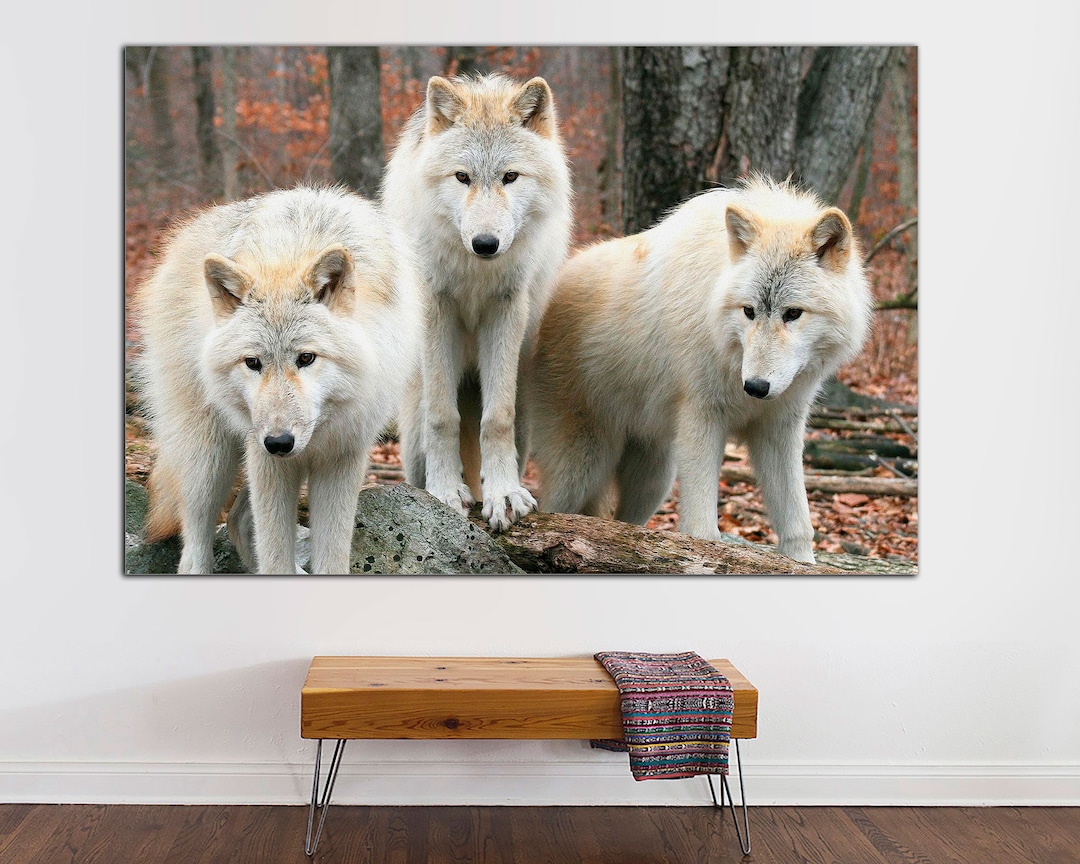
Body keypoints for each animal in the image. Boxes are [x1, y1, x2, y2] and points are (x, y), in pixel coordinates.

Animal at [132, 185, 422, 574]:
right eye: (253, 362)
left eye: (306, 358)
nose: (279, 442)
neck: (293, 251)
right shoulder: (266, 460)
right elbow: (274, 557)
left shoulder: (342, 457)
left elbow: (332, 558)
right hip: (209, 460)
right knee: (195, 539)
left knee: (238, 522)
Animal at [380, 73, 573, 531]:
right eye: (462, 177)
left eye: (511, 176)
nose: (486, 243)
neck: (475, 270)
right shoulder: (437, 309)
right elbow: (442, 416)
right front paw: (445, 492)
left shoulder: (506, 309)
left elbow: (495, 420)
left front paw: (503, 496)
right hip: (412, 431)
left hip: (524, 410)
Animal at [528, 174, 873, 564]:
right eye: (749, 311)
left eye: (793, 314)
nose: (755, 387)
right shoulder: (702, 417)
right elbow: (701, 528)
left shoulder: (779, 427)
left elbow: (798, 522)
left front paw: (801, 563)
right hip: (583, 466)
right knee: (552, 510)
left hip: (655, 478)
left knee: (623, 524)